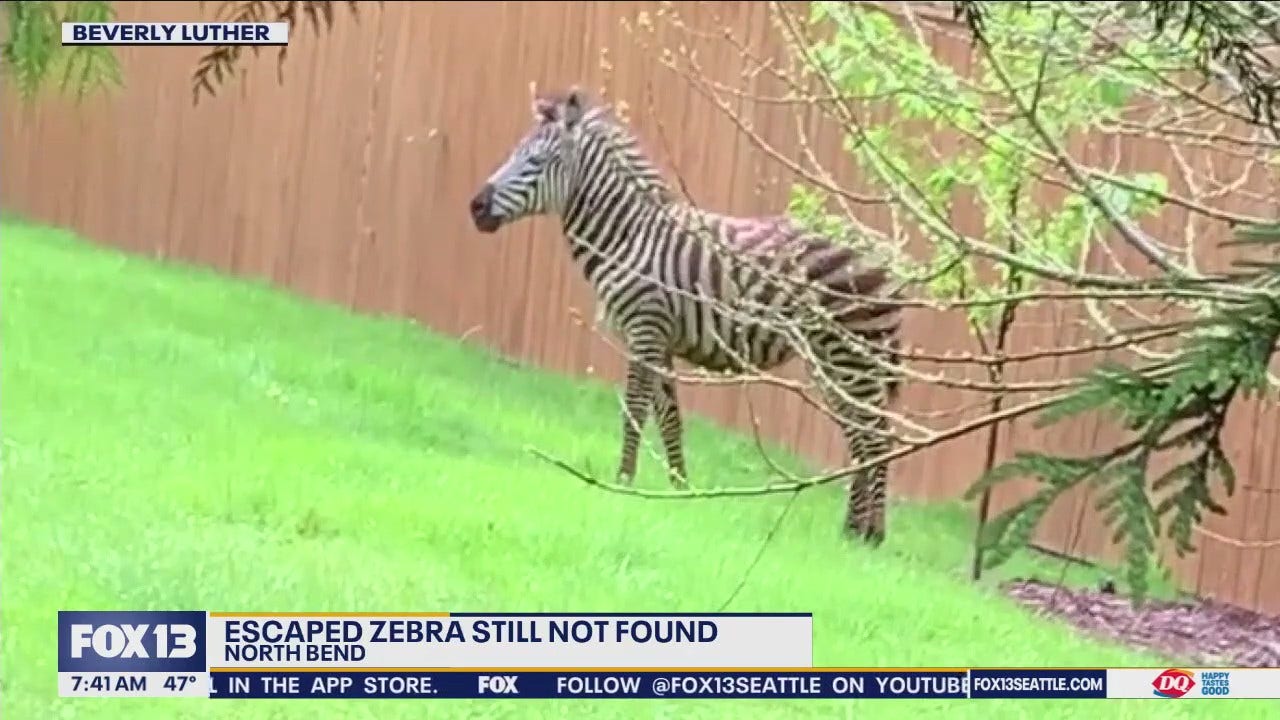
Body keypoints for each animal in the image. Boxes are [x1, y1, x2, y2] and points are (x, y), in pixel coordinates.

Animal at [467, 86, 903, 544]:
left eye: (535, 162)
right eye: (515, 154)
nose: (475, 207)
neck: (628, 236)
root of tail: (890, 253)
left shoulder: (644, 328)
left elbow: (635, 409)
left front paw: (623, 481)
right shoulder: (660, 338)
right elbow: (669, 416)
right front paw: (680, 490)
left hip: (853, 352)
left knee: (878, 435)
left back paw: (872, 535)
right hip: (833, 358)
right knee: (860, 433)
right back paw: (853, 529)